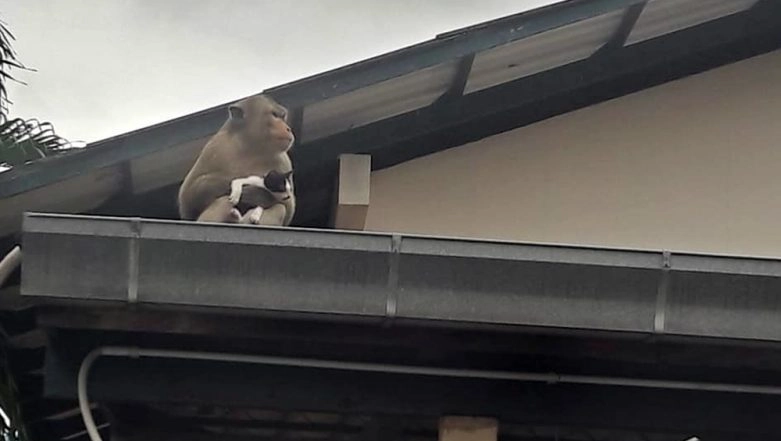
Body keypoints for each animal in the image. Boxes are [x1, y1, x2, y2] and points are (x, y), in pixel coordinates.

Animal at [177, 94, 296, 226]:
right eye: (274, 115)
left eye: (282, 116)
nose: (288, 129)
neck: (252, 147)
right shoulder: (214, 147)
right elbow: (189, 199)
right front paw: (254, 193)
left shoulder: (284, 161)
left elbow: (288, 207)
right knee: (223, 200)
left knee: (280, 208)